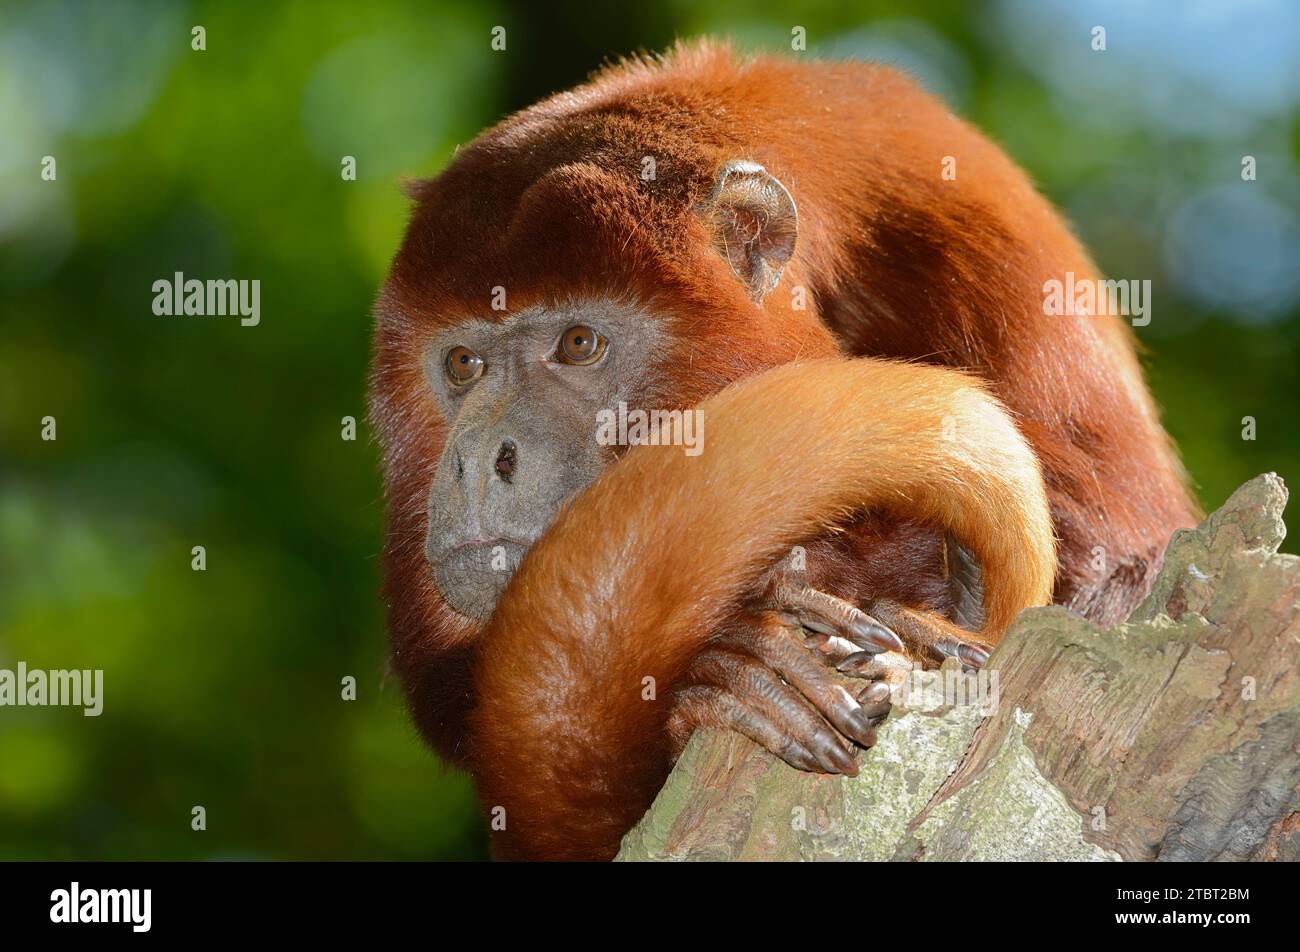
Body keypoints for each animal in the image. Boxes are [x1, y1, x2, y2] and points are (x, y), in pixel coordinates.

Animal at [368, 41, 1198, 858]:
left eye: (578, 344)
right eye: (463, 364)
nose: (480, 460)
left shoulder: (1007, 270)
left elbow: (1119, 575)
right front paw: (732, 674)